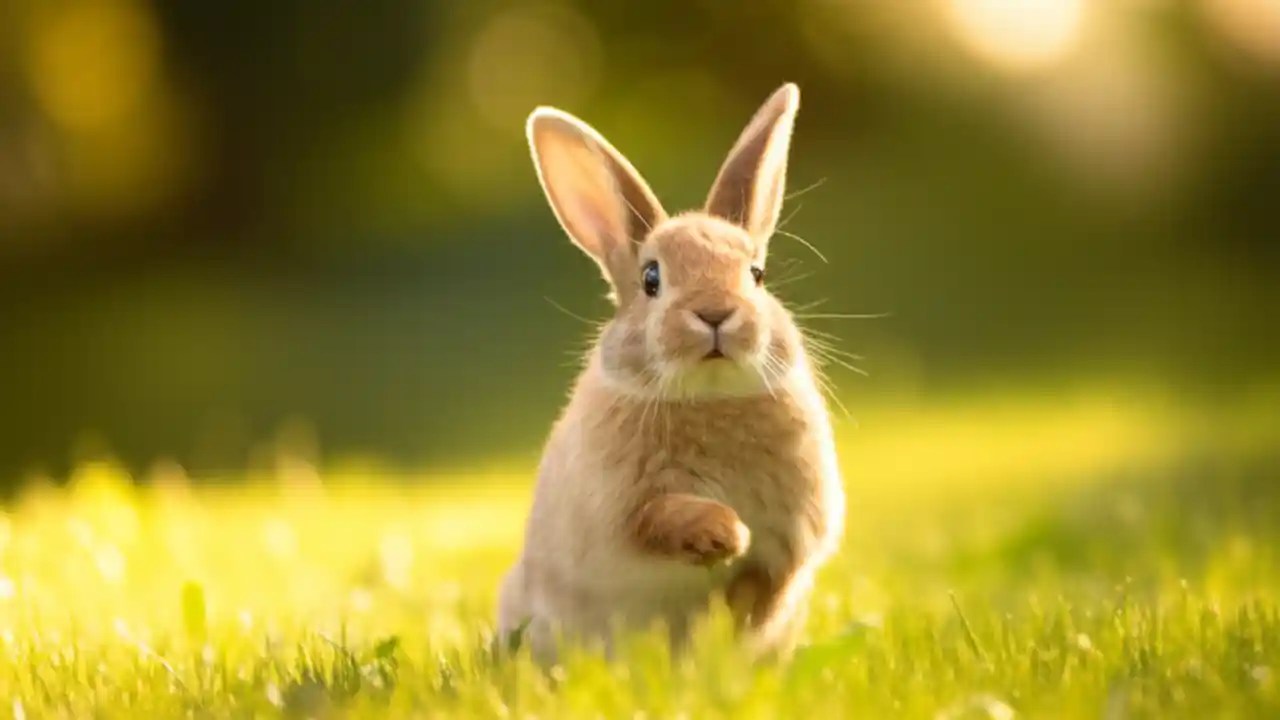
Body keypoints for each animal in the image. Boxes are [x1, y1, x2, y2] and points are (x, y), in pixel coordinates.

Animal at [497, 83, 845, 665]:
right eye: (651, 279)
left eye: (757, 274)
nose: (715, 313)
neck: (709, 397)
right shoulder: (620, 508)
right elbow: (662, 516)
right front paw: (723, 534)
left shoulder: (792, 542)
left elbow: (766, 587)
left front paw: (735, 621)